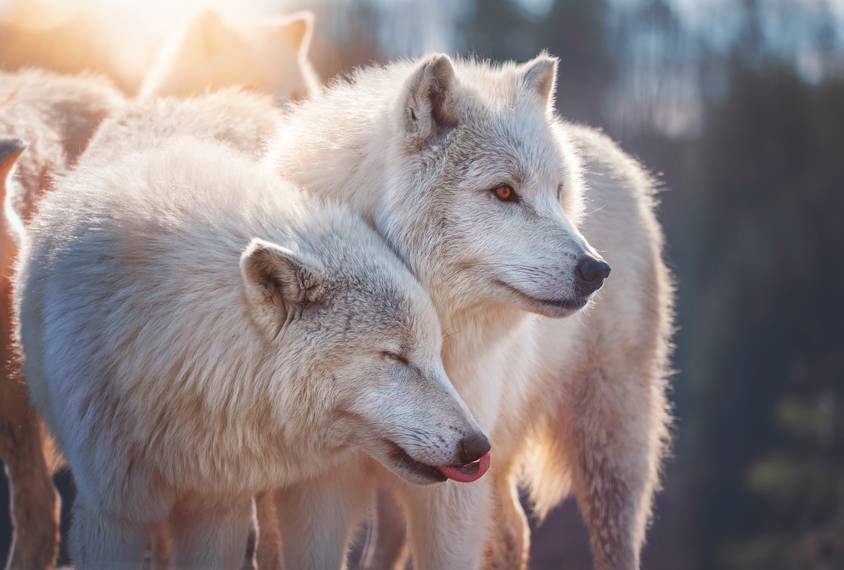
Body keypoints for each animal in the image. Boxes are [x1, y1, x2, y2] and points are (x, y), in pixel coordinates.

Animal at [264, 54, 673, 569]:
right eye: (504, 192)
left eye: (558, 193)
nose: (596, 270)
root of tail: (614, 152)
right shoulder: (316, 491)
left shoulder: (455, 489)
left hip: (610, 448)